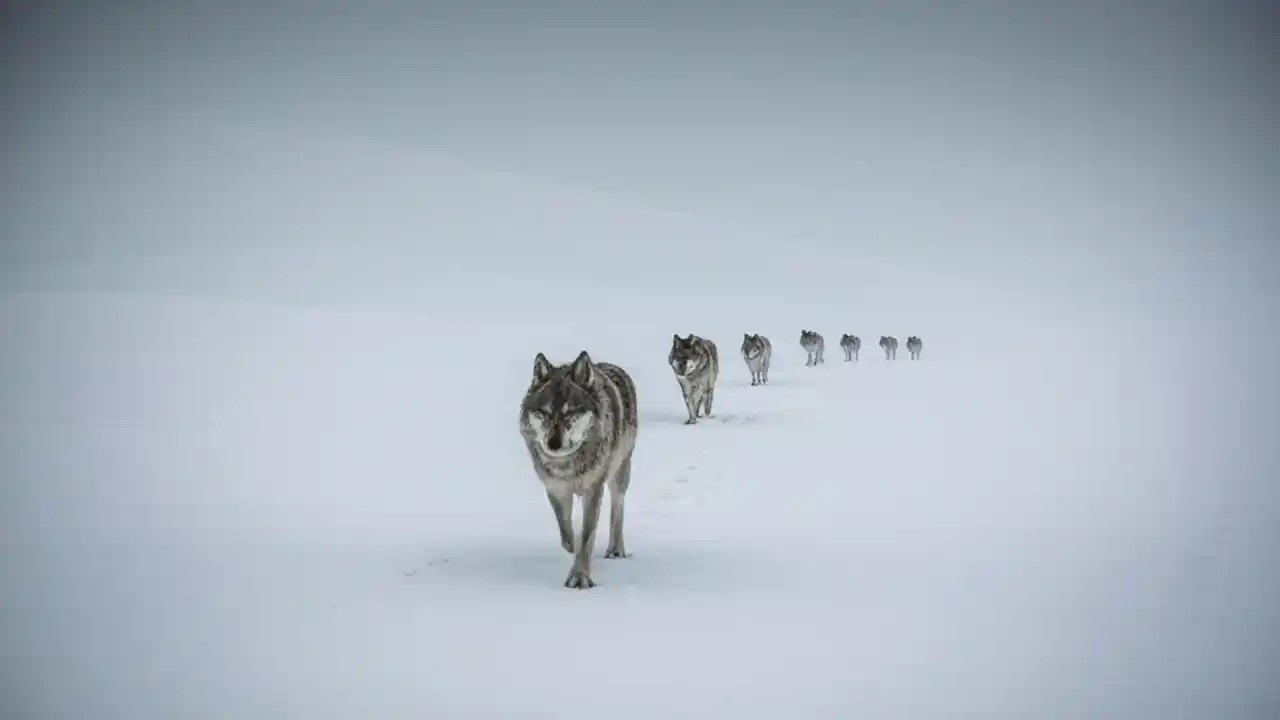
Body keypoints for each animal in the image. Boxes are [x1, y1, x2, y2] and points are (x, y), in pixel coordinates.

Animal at [519, 350, 638, 590]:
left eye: (570, 413)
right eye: (545, 413)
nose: (553, 444)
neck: (567, 465)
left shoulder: (593, 489)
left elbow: (587, 535)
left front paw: (580, 576)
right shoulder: (556, 489)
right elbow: (567, 533)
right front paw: (574, 552)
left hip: (620, 474)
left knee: (617, 508)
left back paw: (616, 550)